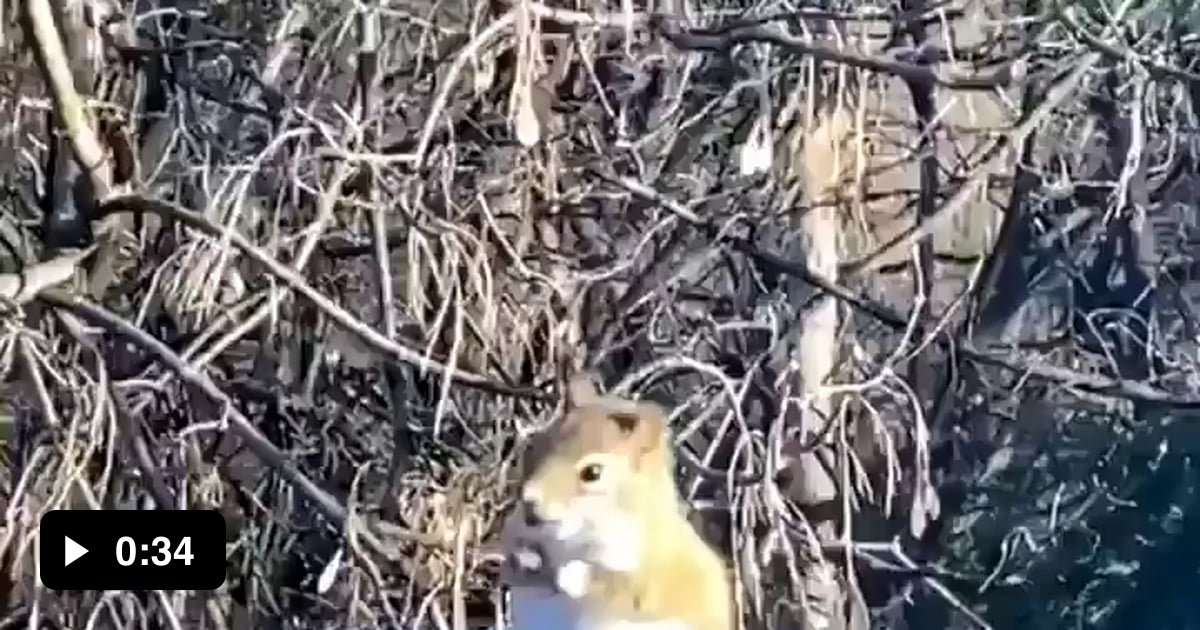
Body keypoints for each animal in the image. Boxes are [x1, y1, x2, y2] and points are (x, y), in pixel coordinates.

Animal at [498, 373, 735, 630]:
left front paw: (571, 575)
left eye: (593, 473)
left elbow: (616, 585)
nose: (529, 502)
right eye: (534, 446)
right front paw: (520, 559)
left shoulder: (648, 572)